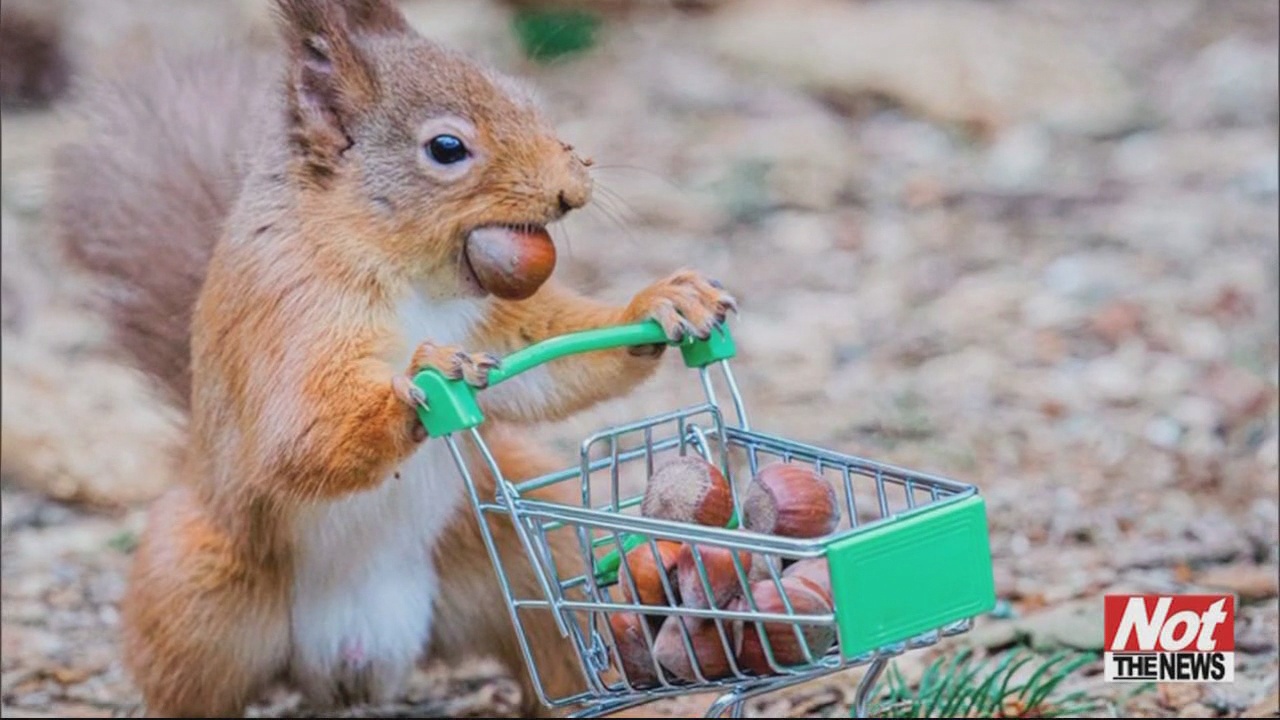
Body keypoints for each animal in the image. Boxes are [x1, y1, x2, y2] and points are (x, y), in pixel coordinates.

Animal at [49, 0, 736, 717]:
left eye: (524, 97)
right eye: (446, 148)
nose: (573, 191)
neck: (412, 278)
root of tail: (353, 656)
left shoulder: (496, 325)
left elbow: (548, 362)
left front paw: (664, 301)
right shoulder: (288, 309)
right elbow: (295, 431)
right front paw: (420, 375)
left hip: (525, 554)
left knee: (554, 646)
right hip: (192, 591)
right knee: (192, 685)